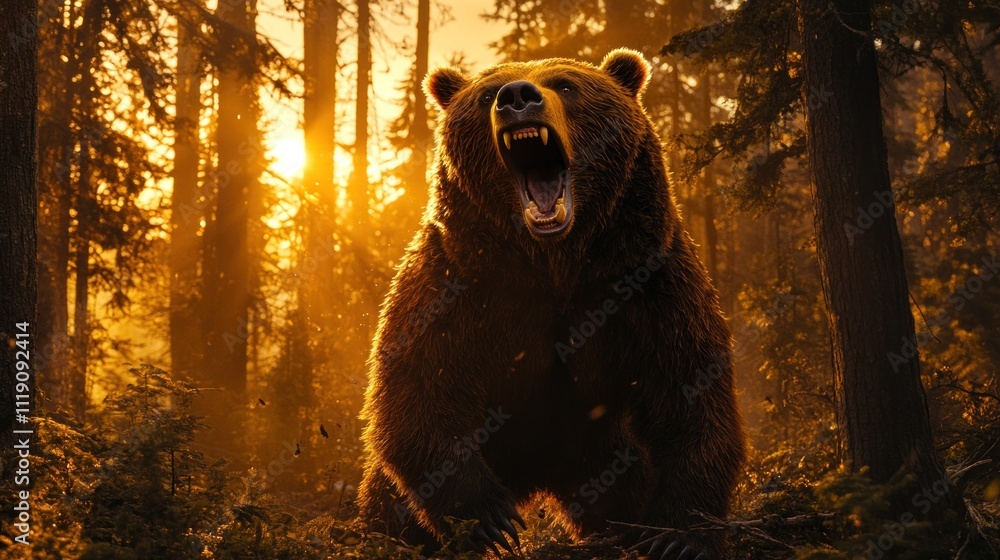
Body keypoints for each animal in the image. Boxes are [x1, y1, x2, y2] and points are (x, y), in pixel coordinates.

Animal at [357, 49, 745, 560]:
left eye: (565, 85)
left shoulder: (649, 285)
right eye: (485, 95)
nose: (517, 96)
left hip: (603, 453)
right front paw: (491, 522)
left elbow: (691, 390)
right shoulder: (457, 286)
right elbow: (419, 388)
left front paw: (678, 535)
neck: (554, 263)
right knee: (390, 506)